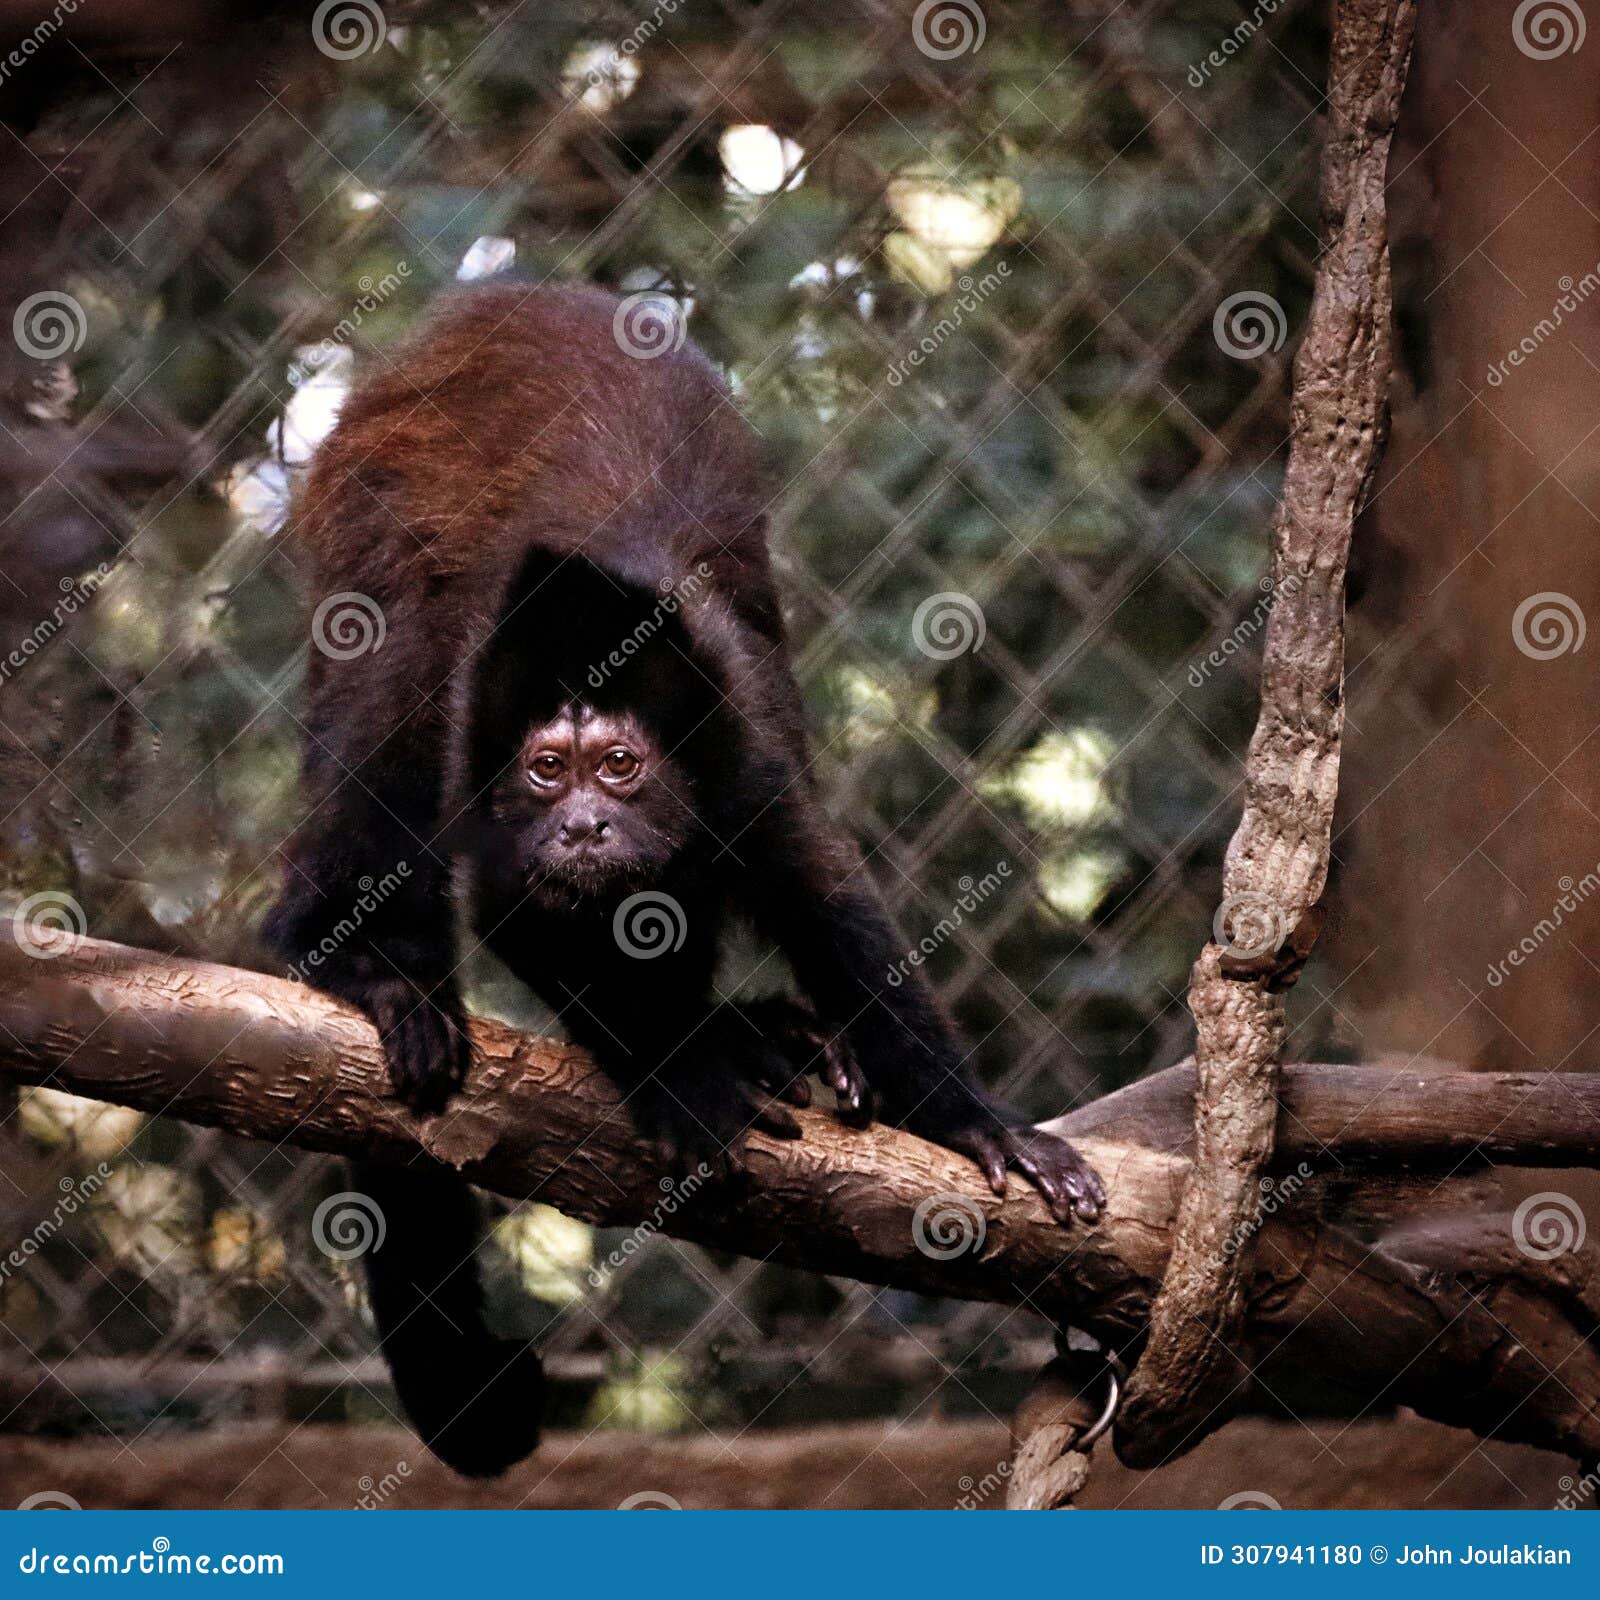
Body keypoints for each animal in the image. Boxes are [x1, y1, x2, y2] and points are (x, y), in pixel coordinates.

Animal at [264, 281, 1104, 1478]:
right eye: (548, 769)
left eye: (619, 765)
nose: (579, 827)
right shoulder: (492, 771)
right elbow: (518, 910)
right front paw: (678, 1070)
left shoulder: (740, 754)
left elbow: (826, 898)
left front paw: (967, 1120)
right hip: (362, 515)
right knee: (390, 689)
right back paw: (359, 962)